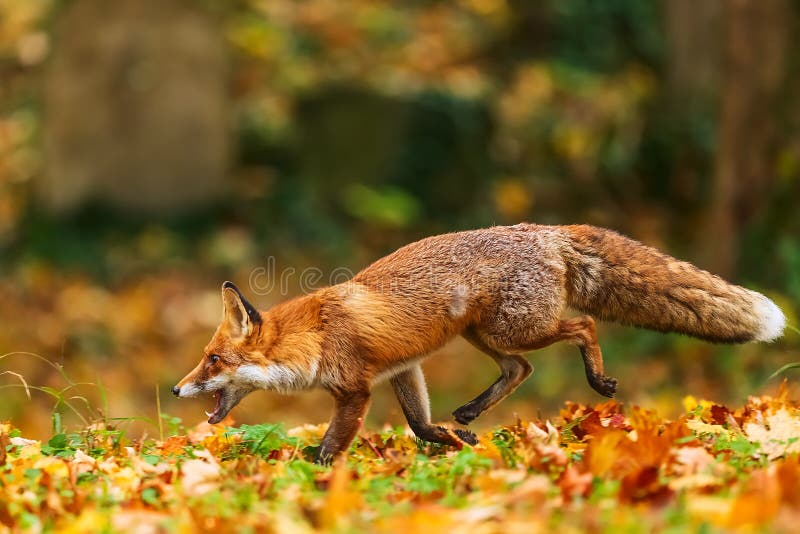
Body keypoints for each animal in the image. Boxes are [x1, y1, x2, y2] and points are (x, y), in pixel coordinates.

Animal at [173, 223, 786, 463]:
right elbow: (421, 425)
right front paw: (455, 442)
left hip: (511, 328)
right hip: (483, 334)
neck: (315, 336)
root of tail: (547, 230)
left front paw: (314, 476)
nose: (178, 389)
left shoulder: (355, 391)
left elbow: (329, 447)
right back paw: (469, 414)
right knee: (520, 371)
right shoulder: (401, 370)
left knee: (584, 328)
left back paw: (597, 379)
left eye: (213, 360)